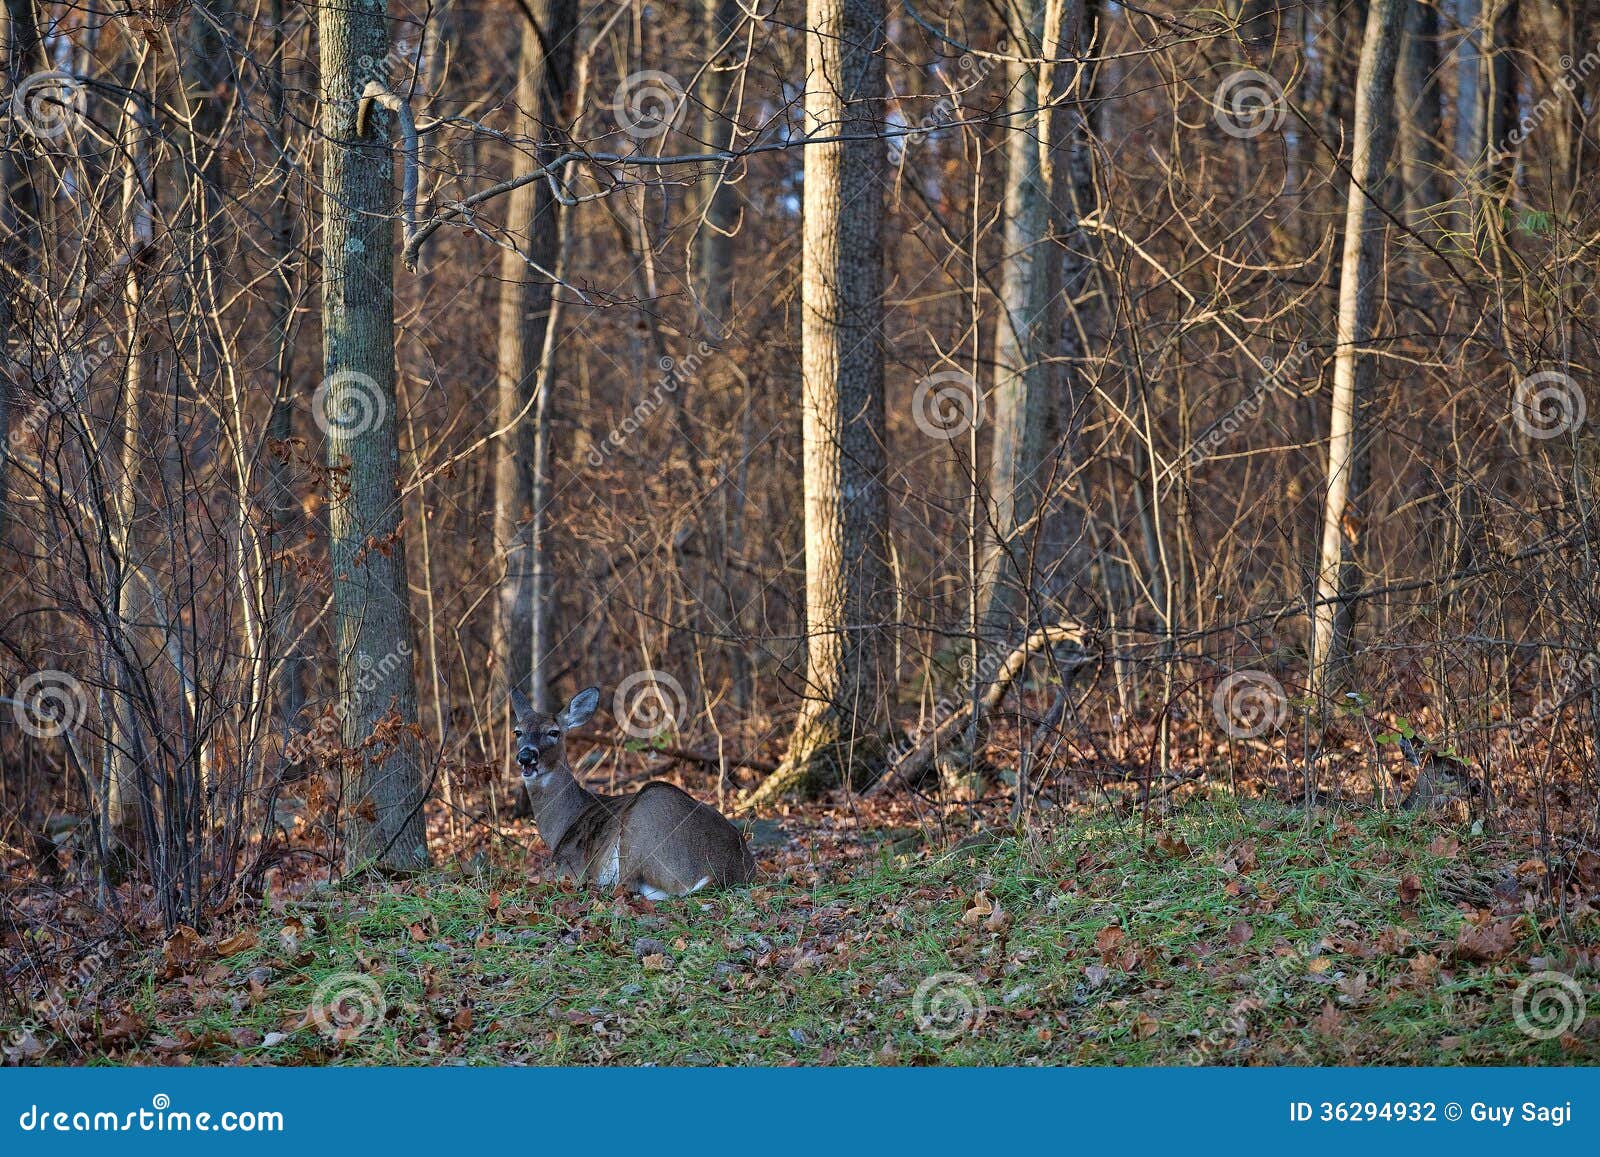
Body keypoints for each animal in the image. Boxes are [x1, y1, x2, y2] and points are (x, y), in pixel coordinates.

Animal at [509, 686, 757, 898]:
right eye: (518, 731)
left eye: (553, 732)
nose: (526, 756)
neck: (565, 822)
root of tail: (721, 874)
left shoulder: (569, 866)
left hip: (644, 819)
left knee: (625, 886)